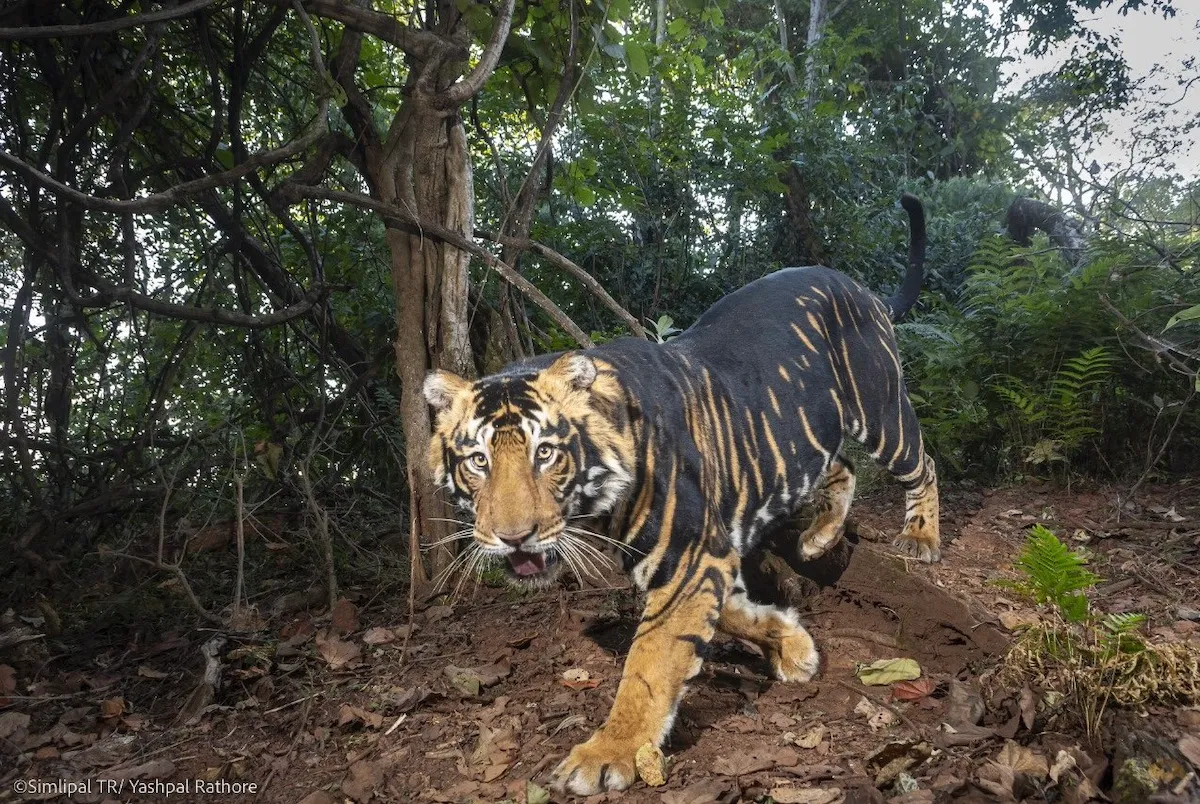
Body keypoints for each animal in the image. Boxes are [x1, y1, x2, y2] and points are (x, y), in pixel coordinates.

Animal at [422, 194, 939, 795]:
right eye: (478, 461)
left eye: (545, 454)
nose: (513, 537)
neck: (598, 509)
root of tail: (860, 287)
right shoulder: (700, 559)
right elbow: (731, 612)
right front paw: (793, 645)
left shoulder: (690, 557)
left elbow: (649, 662)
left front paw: (607, 753)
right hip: (807, 431)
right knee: (843, 467)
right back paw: (818, 537)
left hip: (882, 409)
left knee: (923, 463)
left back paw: (921, 537)